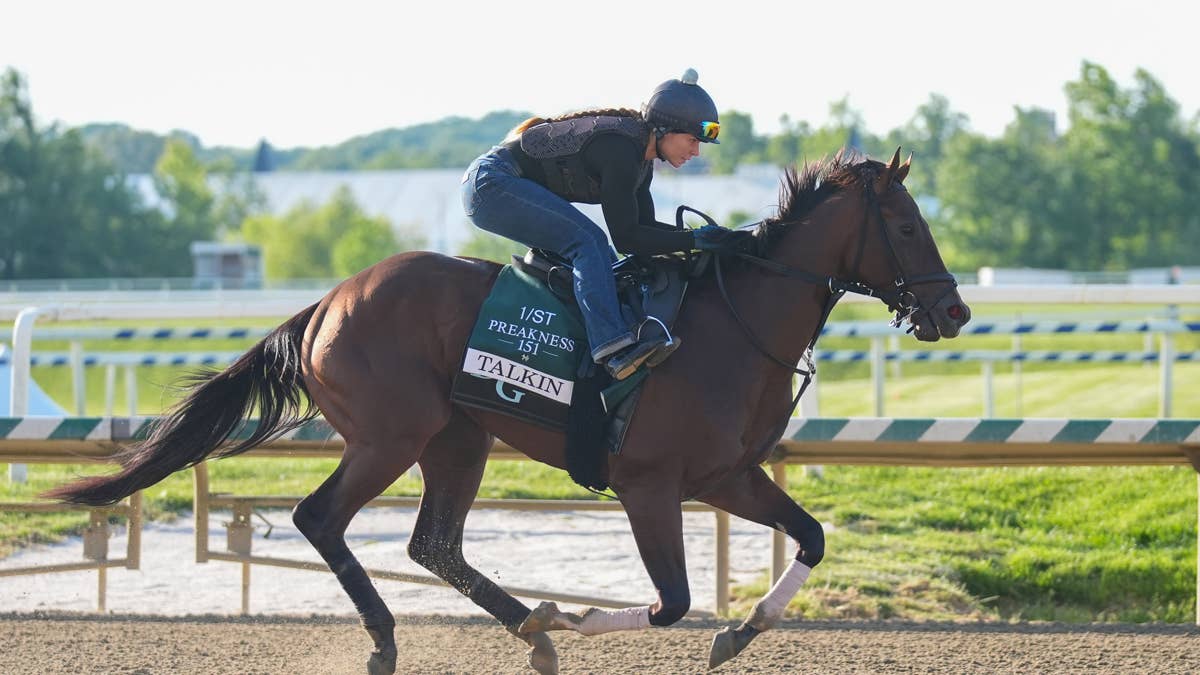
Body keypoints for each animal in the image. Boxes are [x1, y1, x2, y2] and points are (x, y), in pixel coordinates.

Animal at [46, 148, 970, 674]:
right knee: (321, 517)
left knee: (433, 542)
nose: (954, 310)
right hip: (391, 435)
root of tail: (326, 304)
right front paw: (578, 612)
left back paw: (529, 627)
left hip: (458, 438)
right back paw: (397, 637)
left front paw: (740, 631)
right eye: (905, 225)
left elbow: (809, 538)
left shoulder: (728, 475)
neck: (730, 324)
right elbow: (671, 599)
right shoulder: (648, 483)